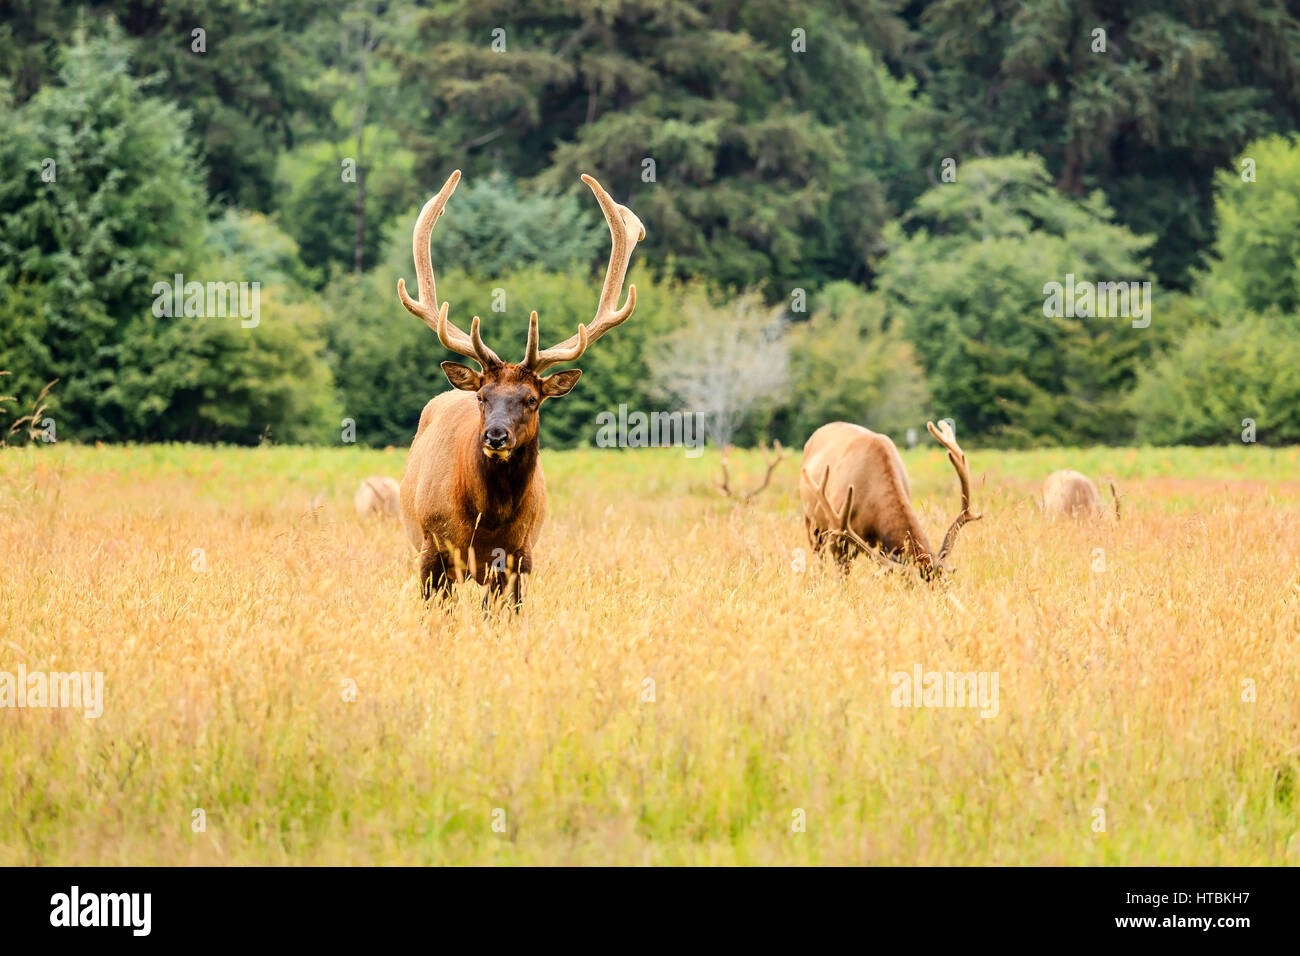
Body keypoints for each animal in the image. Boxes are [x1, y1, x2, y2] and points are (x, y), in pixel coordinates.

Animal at [395, 169, 644, 608]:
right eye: (482, 397)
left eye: (531, 399)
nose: (496, 436)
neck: (487, 521)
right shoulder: (431, 547)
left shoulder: (519, 557)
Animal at [799, 420, 980, 579]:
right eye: (914, 586)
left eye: (944, 581)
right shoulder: (837, 532)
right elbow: (842, 575)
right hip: (812, 522)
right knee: (819, 557)